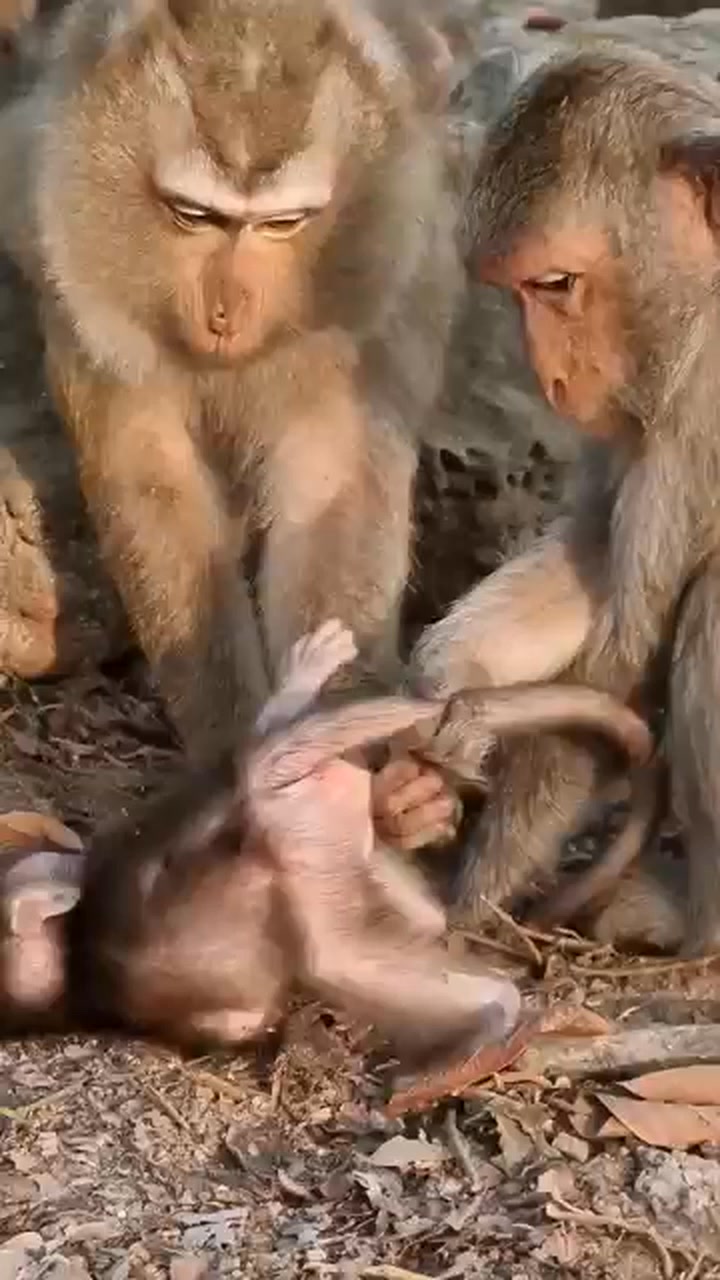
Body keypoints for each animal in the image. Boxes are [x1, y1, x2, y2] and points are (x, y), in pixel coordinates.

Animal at [0, 0, 473, 764]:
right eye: (194, 215)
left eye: (283, 223)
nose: (226, 312)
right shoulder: (87, 286)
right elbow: (157, 480)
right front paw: (228, 739)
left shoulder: (372, 306)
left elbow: (331, 488)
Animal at [381, 45, 720, 955]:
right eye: (522, 291)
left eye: (559, 284)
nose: (552, 378)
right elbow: (597, 555)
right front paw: (445, 693)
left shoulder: (700, 411)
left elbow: (627, 650)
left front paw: (466, 903)